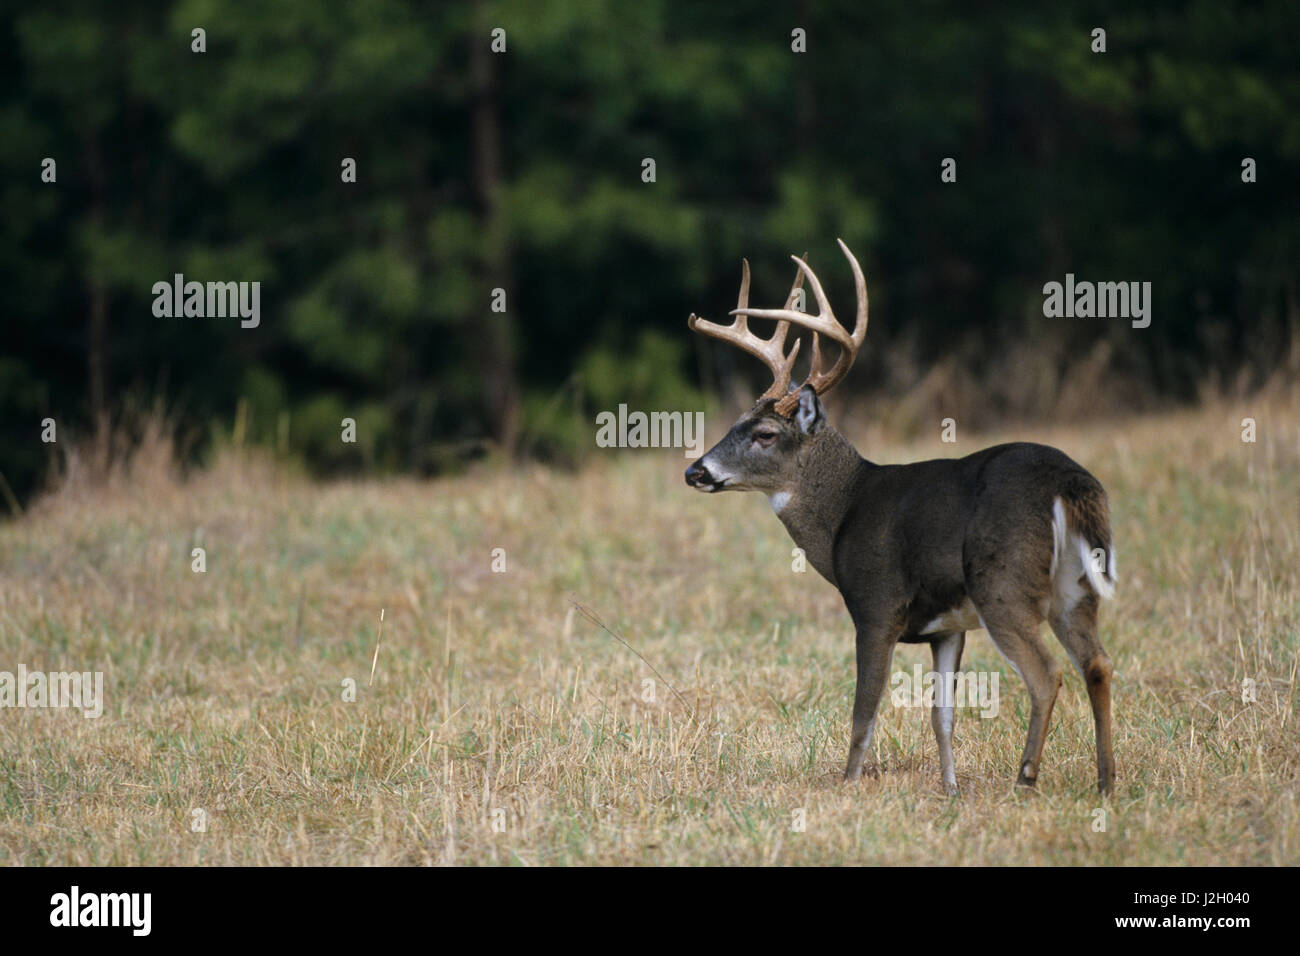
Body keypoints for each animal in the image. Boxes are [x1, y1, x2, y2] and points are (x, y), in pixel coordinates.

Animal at [685, 239, 1116, 795]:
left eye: (764, 434)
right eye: (736, 422)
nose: (695, 470)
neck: (843, 512)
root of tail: (1068, 483)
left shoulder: (876, 604)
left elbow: (863, 713)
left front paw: (847, 786)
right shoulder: (948, 627)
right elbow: (942, 715)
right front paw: (950, 790)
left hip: (1004, 583)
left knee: (1047, 674)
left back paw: (1026, 779)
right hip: (1076, 588)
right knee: (1097, 663)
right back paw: (1106, 781)